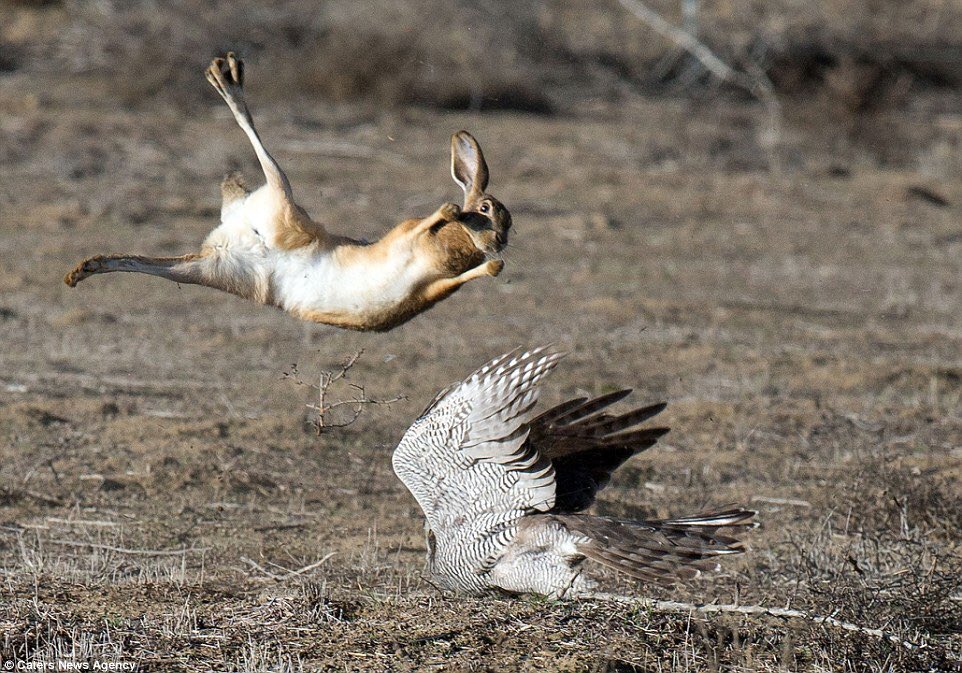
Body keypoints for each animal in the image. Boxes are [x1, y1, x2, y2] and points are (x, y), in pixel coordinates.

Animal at [64, 52, 511, 332]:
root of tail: (239, 228)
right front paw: (453, 213)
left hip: (218, 270)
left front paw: (494, 263)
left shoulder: (432, 290)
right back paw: (227, 78)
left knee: (154, 264)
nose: (499, 241)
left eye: (511, 225)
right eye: (486, 208)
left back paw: (86, 268)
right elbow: (439, 213)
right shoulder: (409, 235)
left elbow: (477, 274)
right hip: (285, 207)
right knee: (257, 140)